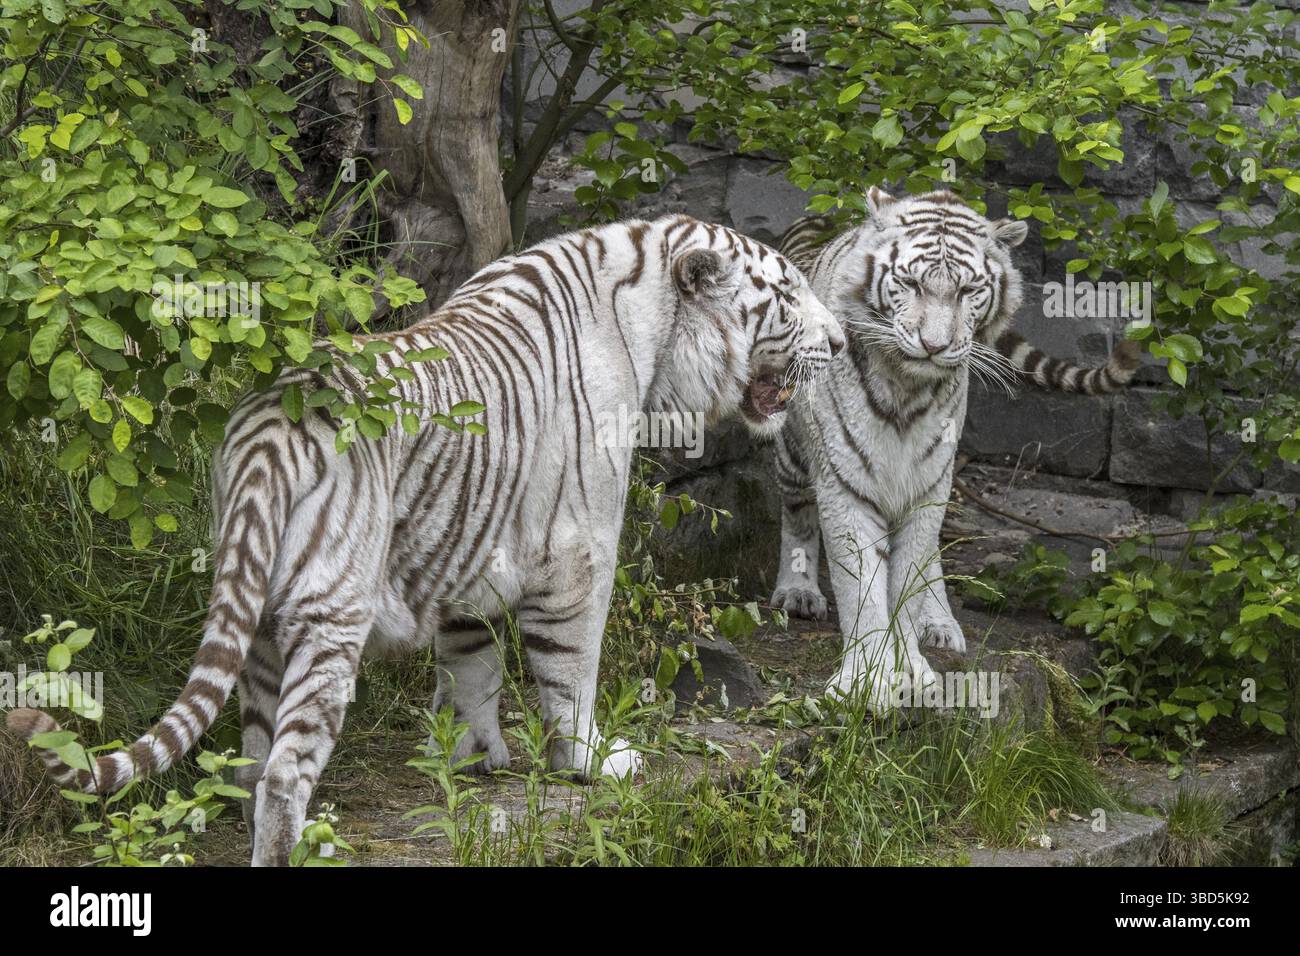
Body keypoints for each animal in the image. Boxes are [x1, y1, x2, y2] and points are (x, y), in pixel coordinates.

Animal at [7, 215, 845, 866]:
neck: (651, 331)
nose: (839, 341)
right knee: (284, 770)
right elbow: (570, 670)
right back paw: (294, 846)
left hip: (261, 617)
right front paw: (594, 761)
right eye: (789, 295)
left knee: (251, 759)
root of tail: (271, 420)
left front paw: (474, 756)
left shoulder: (472, 547)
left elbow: (470, 663)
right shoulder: (578, 552)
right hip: (329, 617)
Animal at [769, 187, 1140, 708]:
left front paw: (911, 668)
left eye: (967, 291)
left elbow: (907, 578)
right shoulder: (846, 481)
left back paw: (939, 621)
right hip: (793, 450)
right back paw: (798, 592)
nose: (933, 344)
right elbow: (861, 585)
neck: (906, 387)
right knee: (797, 512)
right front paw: (864, 680)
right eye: (909, 283)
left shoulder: (929, 481)